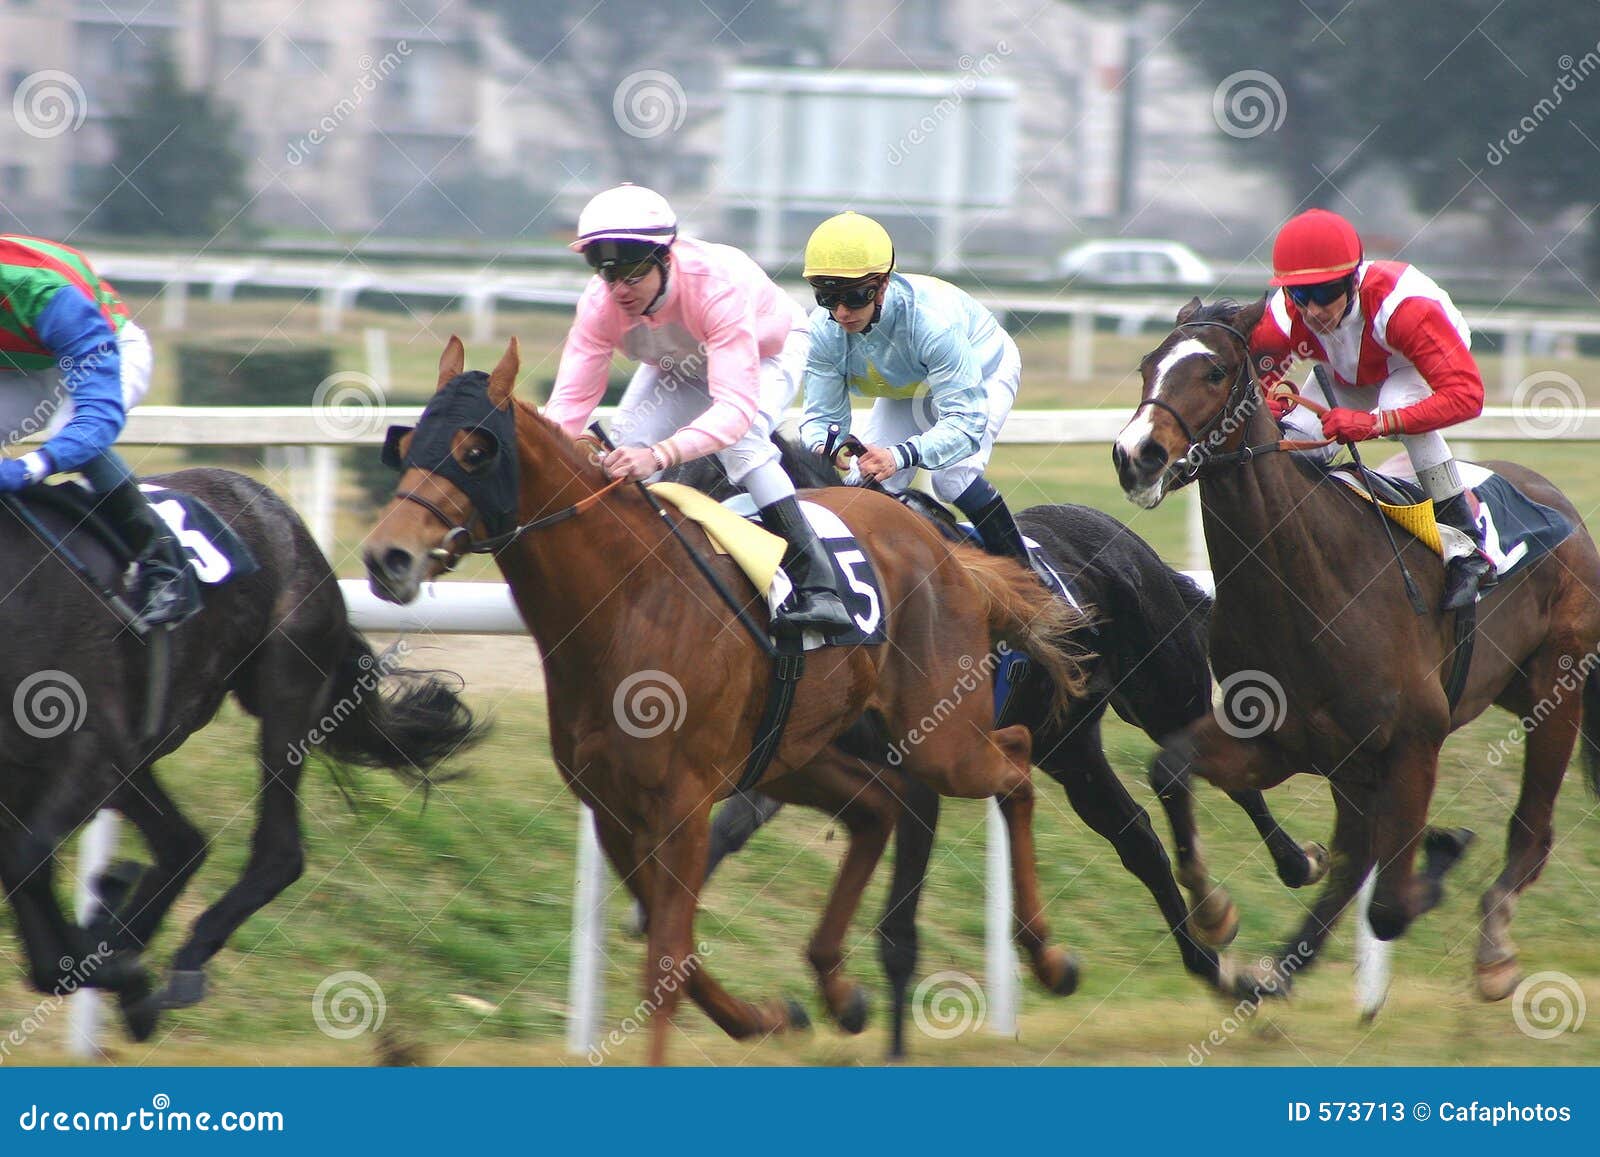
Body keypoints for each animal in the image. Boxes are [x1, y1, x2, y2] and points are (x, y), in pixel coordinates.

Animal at [0, 467, 484, 1043]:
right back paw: (123, 937)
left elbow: (27, 867)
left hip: (284, 691)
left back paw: (178, 954)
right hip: (142, 751)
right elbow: (35, 914)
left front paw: (122, 971)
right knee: (185, 844)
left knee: (277, 852)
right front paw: (116, 962)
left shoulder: (91, 751)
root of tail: (283, 514)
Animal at [362, 336, 1097, 1064]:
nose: (384, 557)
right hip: (794, 756)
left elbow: (666, 960)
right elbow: (676, 950)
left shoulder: (683, 806)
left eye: (475, 450)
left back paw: (1048, 956)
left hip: (937, 734)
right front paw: (766, 1015)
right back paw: (837, 986)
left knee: (1014, 764)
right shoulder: (613, 809)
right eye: (409, 443)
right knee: (877, 809)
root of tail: (941, 548)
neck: (626, 601)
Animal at [656, 435, 1329, 1055]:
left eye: (710, 488)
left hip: (1165, 695)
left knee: (1214, 769)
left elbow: (899, 933)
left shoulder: (918, 774)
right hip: (1070, 746)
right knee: (1138, 838)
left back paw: (1285, 872)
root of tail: (1134, 545)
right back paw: (1221, 970)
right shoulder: (802, 758)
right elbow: (726, 833)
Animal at [1112, 296, 1600, 1001]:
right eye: (1148, 365)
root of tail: (1560, 504)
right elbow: (1171, 769)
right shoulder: (1285, 744)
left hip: (1553, 691)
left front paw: (1443, 852)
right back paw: (1273, 972)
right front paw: (1216, 916)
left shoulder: (1413, 746)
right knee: (1356, 855)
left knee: (1530, 832)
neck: (1303, 583)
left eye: (1213, 371)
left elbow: (1390, 905)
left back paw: (1493, 951)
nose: (1136, 455)